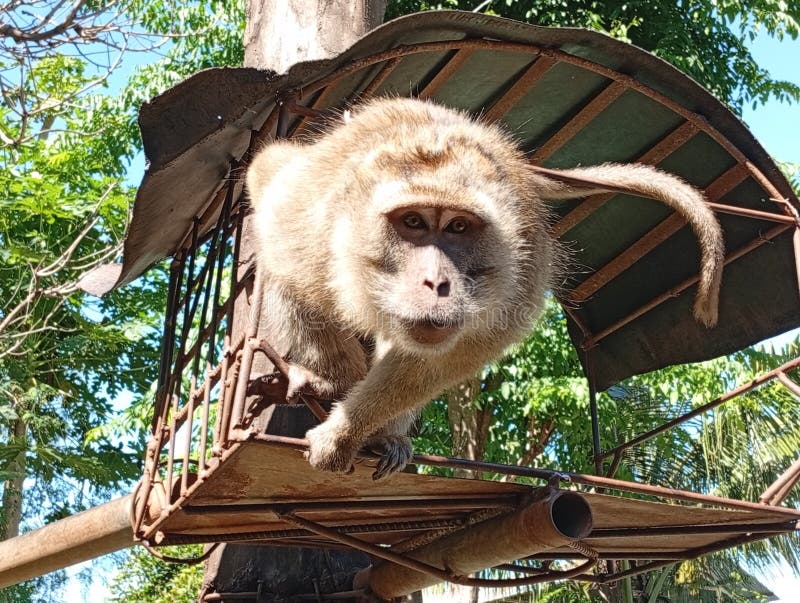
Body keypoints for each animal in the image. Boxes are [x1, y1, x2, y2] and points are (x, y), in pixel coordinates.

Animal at [246, 97, 724, 479]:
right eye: (413, 222)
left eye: (459, 227)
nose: (437, 282)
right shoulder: (304, 212)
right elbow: (267, 182)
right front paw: (333, 381)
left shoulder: (520, 271)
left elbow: (447, 357)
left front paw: (350, 431)